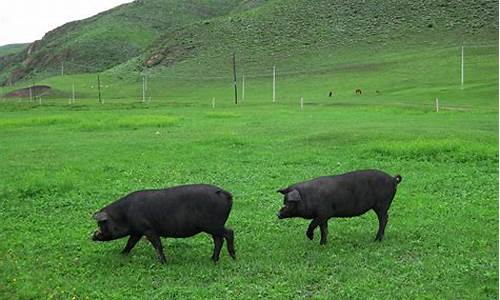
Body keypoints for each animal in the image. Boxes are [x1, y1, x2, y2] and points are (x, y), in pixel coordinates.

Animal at [92, 184, 236, 264]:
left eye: (101, 224)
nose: (92, 236)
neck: (124, 215)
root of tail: (226, 193)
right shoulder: (137, 231)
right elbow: (130, 243)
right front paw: (121, 254)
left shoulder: (148, 229)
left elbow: (157, 245)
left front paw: (163, 263)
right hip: (213, 226)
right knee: (219, 239)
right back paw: (213, 260)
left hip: (212, 224)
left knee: (229, 232)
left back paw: (232, 257)